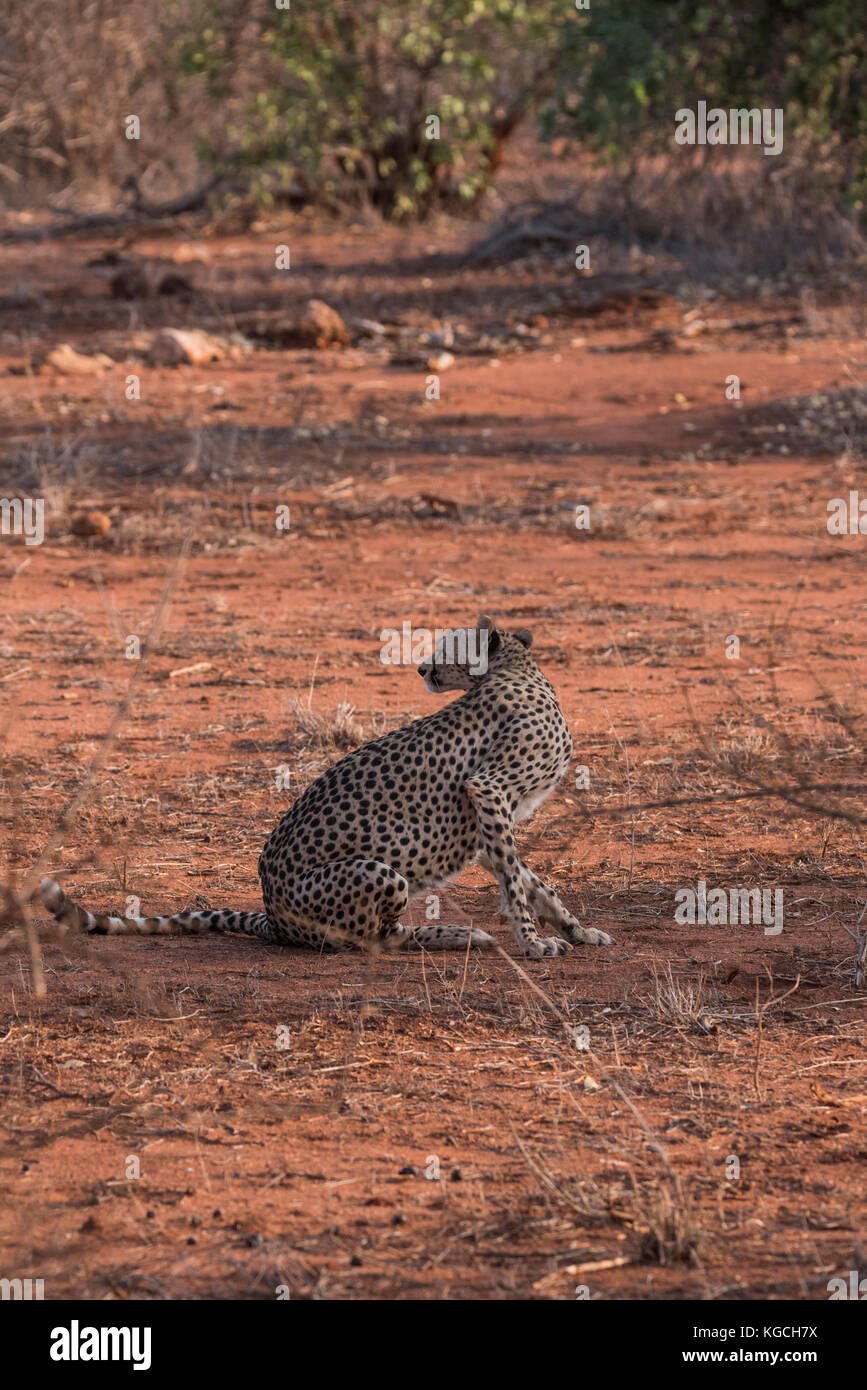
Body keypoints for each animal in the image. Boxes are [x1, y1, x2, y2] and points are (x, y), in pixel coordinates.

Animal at [39, 616, 613, 960]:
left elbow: (531, 881)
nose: (422, 667)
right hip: (380, 873)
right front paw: (535, 944)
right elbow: (516, 884)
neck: (517, 668)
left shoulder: (488, 814)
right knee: (376, 940)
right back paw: (455, 935)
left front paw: (576, 930)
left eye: (448, 647)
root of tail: (273, 916)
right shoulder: (488, 790)